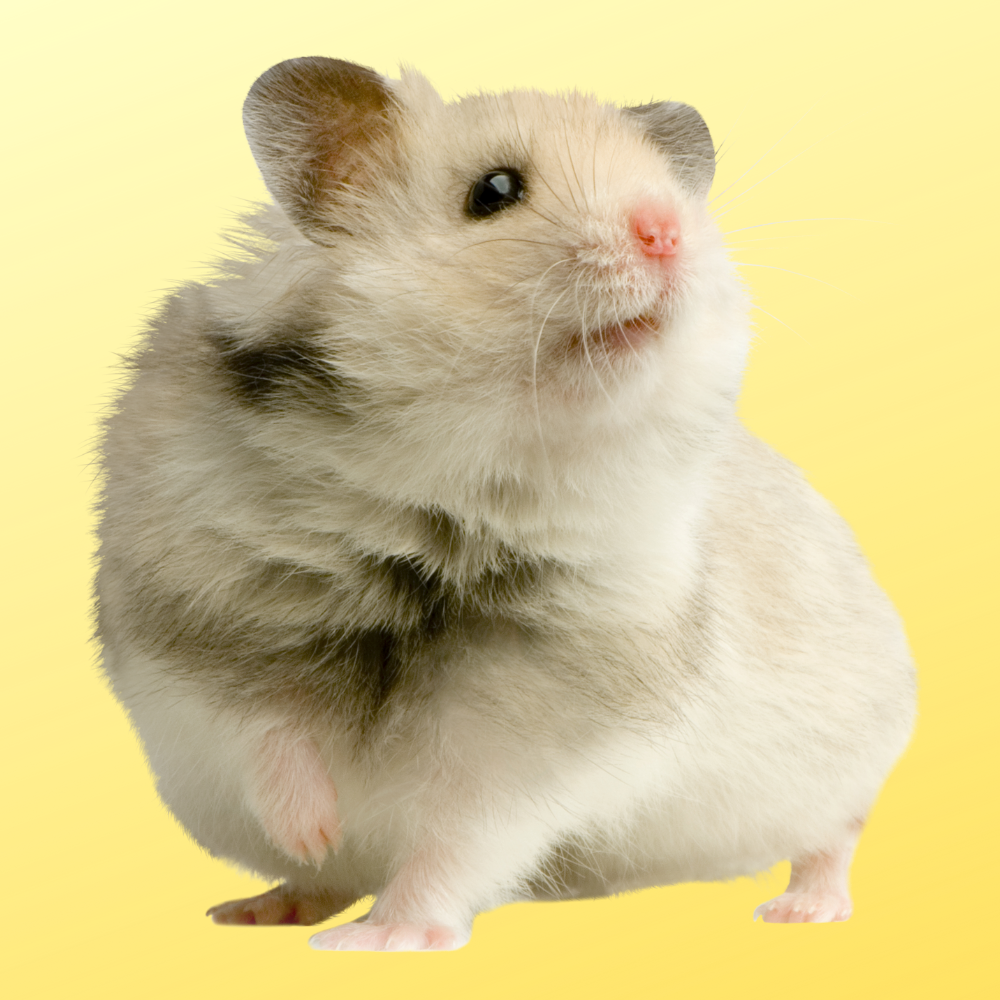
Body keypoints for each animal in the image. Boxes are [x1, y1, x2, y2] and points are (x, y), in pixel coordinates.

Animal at [94, 57, 916, 951]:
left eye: (670, 188)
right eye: (494, 191)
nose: (668, 231)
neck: (443, 496)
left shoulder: (537, 740)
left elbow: (457, 838)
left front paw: (383, 939)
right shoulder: (194, 627)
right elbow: (266, 733)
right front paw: (314, 833)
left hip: (841, 765)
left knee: (834, 837)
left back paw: (802, 910)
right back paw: (262, 905)